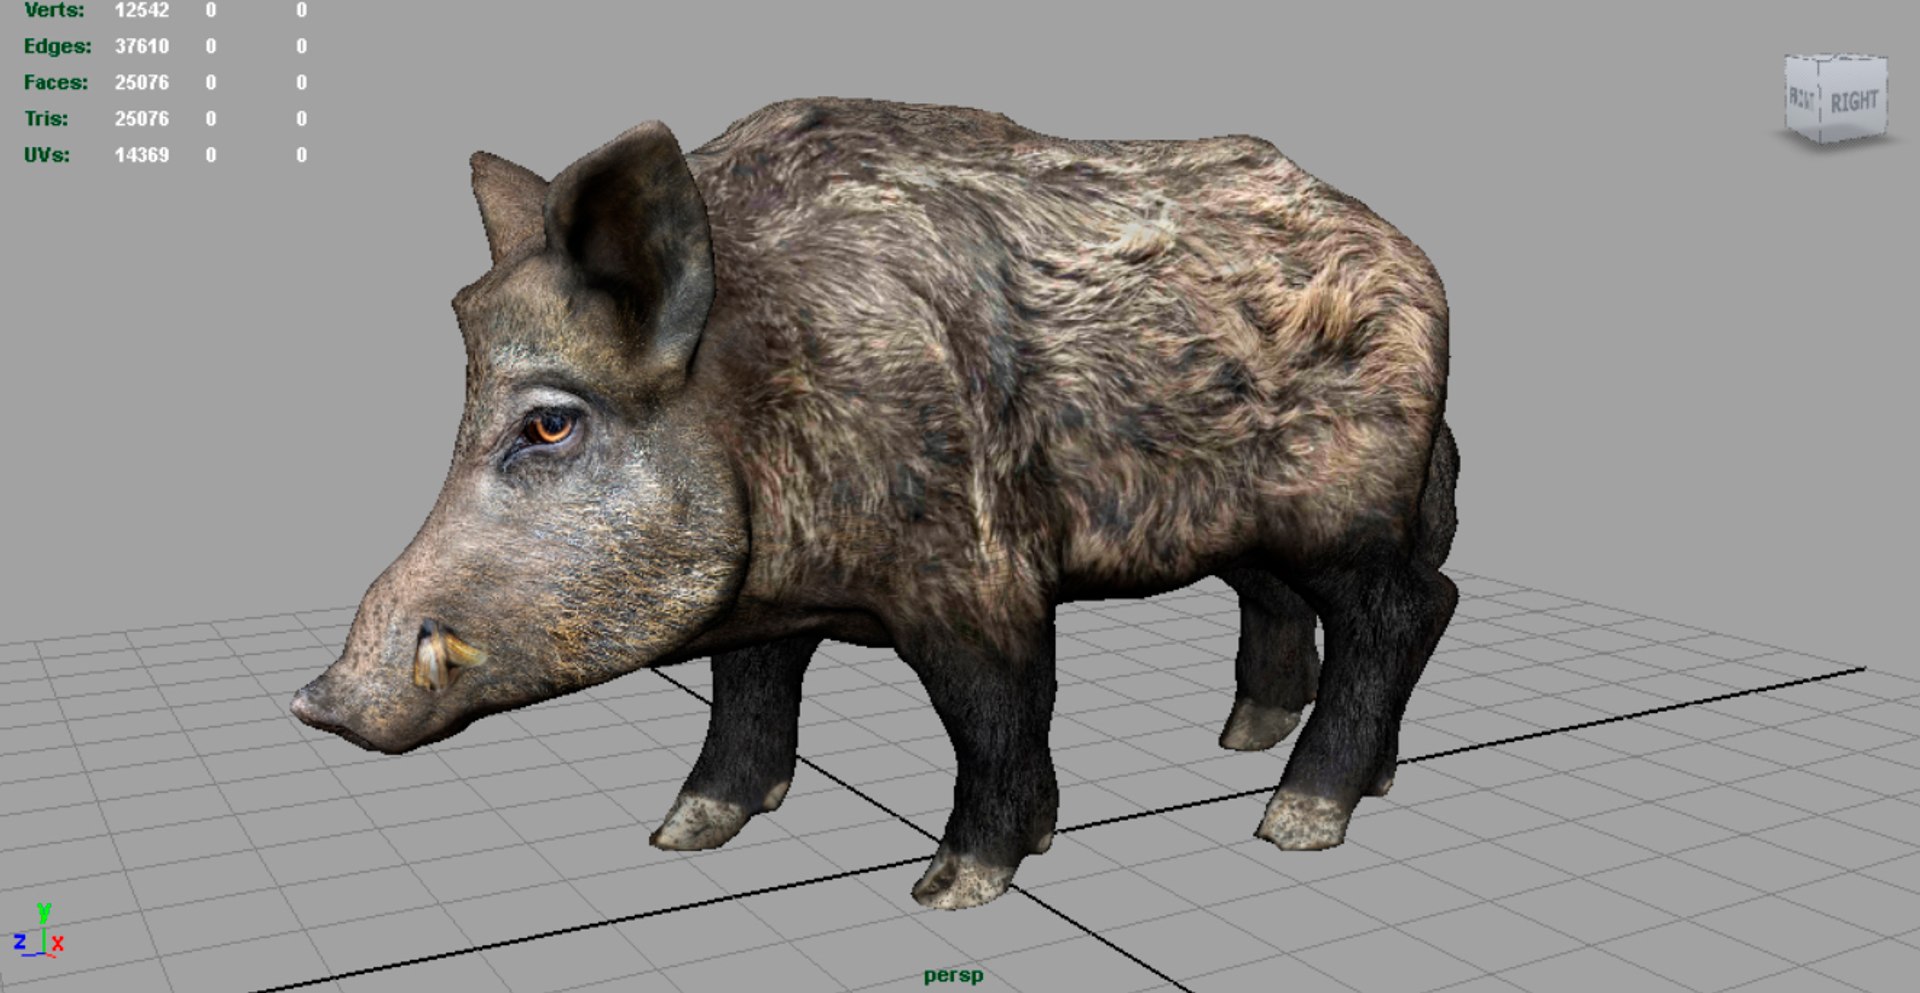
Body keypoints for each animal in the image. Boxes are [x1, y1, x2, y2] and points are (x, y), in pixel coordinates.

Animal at [291, 97, 1461, 910]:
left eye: (548, 424)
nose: (318, 701)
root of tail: (1415, 260)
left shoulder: (980, 574)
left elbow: (993, 711)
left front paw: (952, 890)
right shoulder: (767, 609)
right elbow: (748, 691)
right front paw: (682, 834)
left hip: (1348, 504)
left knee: (1406, 608)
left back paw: (1295, 820)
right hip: (1240, 518)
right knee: (1316, 599)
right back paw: (1253, 746)